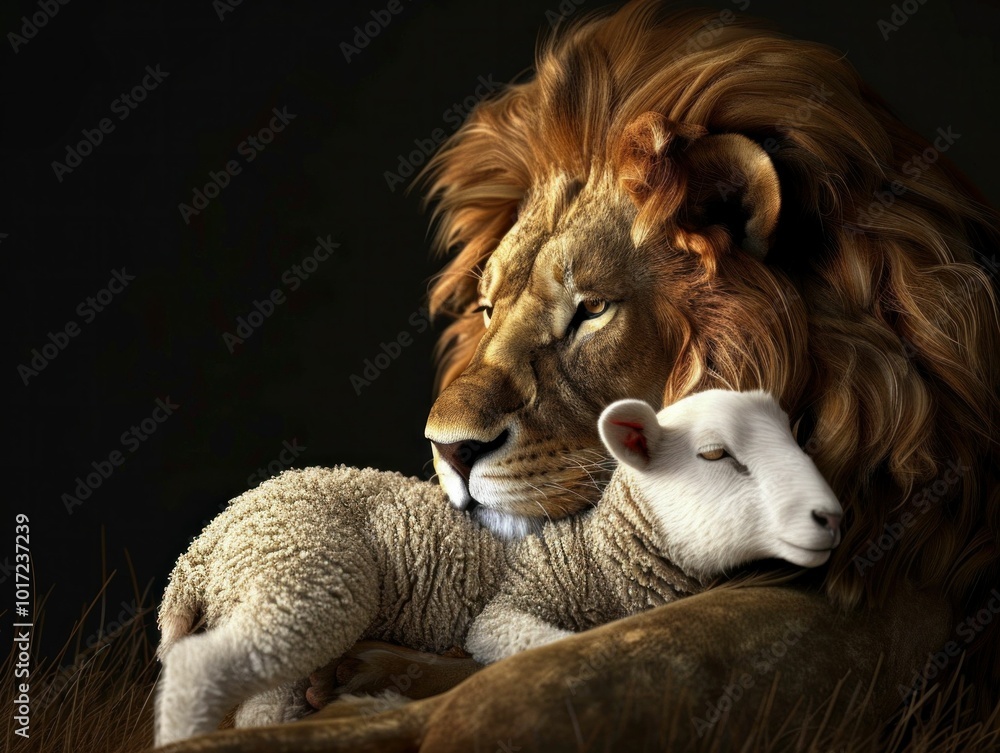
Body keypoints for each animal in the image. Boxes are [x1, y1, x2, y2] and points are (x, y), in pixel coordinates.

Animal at [154, 389, 842, 747]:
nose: (830, 517)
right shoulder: (508, 609)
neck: (593, 552)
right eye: (715, 455)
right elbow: (529, 642)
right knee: (199, 668)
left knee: (262, 704)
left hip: (269, 593)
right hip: (307, 575)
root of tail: (202, 548)